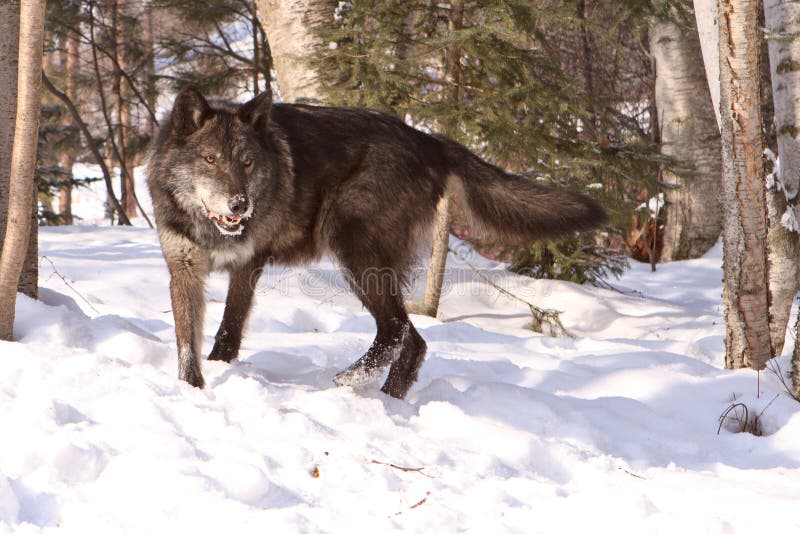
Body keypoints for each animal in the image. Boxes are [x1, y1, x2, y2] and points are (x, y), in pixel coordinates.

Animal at [146, 85, 607, 399]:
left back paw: (349, 380)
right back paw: (389, 403)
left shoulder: (248, 266)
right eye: (210, 160)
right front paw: (192, 386)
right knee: (414, 341)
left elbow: (228, 329)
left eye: (246, 162)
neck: (211, 228)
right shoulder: (185, 270)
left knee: (398, 330)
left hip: (353, 249)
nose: (240, 205)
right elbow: (189, 339)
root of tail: (427, 139)